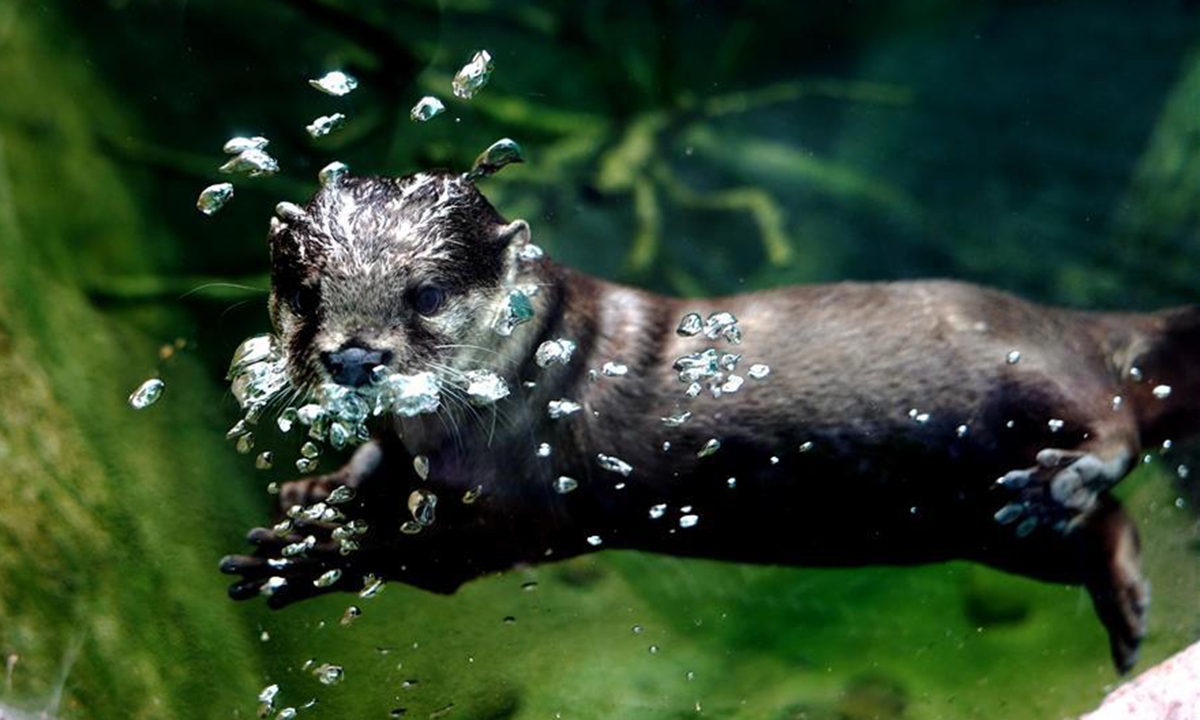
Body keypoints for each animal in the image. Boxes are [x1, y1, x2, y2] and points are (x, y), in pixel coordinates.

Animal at [220, 170, 1200, 673]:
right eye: (303, 293)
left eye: (425, 295)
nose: (353, 356)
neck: (533, 377)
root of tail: (1079, 324)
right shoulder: (410, 447)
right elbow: (377, 467)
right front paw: (317, 492)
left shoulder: (527, 494)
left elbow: (437, 550)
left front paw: (303, 558)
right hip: (974, 514)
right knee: (1100, 525)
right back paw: (1125, 608)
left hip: (1025, 373)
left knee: (1114, 426)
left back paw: (1068, 475)